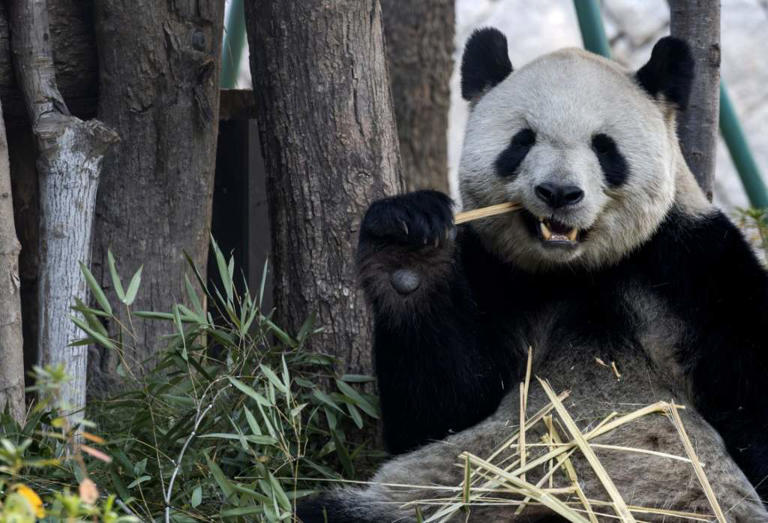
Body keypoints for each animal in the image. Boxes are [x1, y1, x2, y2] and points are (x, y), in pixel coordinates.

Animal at [299, 28, 768, 522]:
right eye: (522, 141)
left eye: (604, 147)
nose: (559, 192)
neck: (576, 271)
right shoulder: (495, 276)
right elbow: (441, 408)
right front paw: (406, 248)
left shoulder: (694, 271)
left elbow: (750, 389)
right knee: (334, 509)